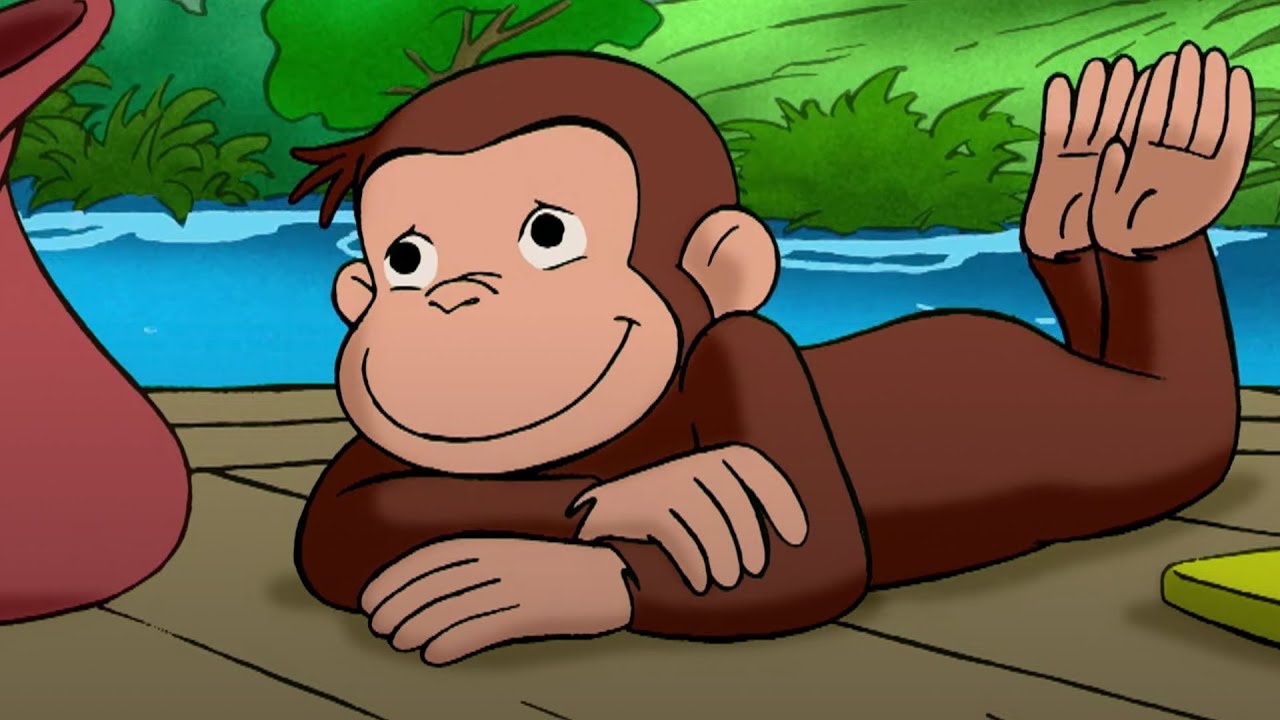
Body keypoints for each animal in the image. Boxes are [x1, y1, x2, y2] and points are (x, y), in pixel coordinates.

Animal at [291, 45, 1246, 666]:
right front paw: (662, 495)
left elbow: (814, 562)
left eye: (549, 233)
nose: (457, 296)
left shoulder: (751, 351)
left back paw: (1143, 197)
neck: (624, 436)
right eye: (405, 260)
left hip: (1141, 436)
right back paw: (1073, 202)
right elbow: (339, 516)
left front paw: (530, 575)